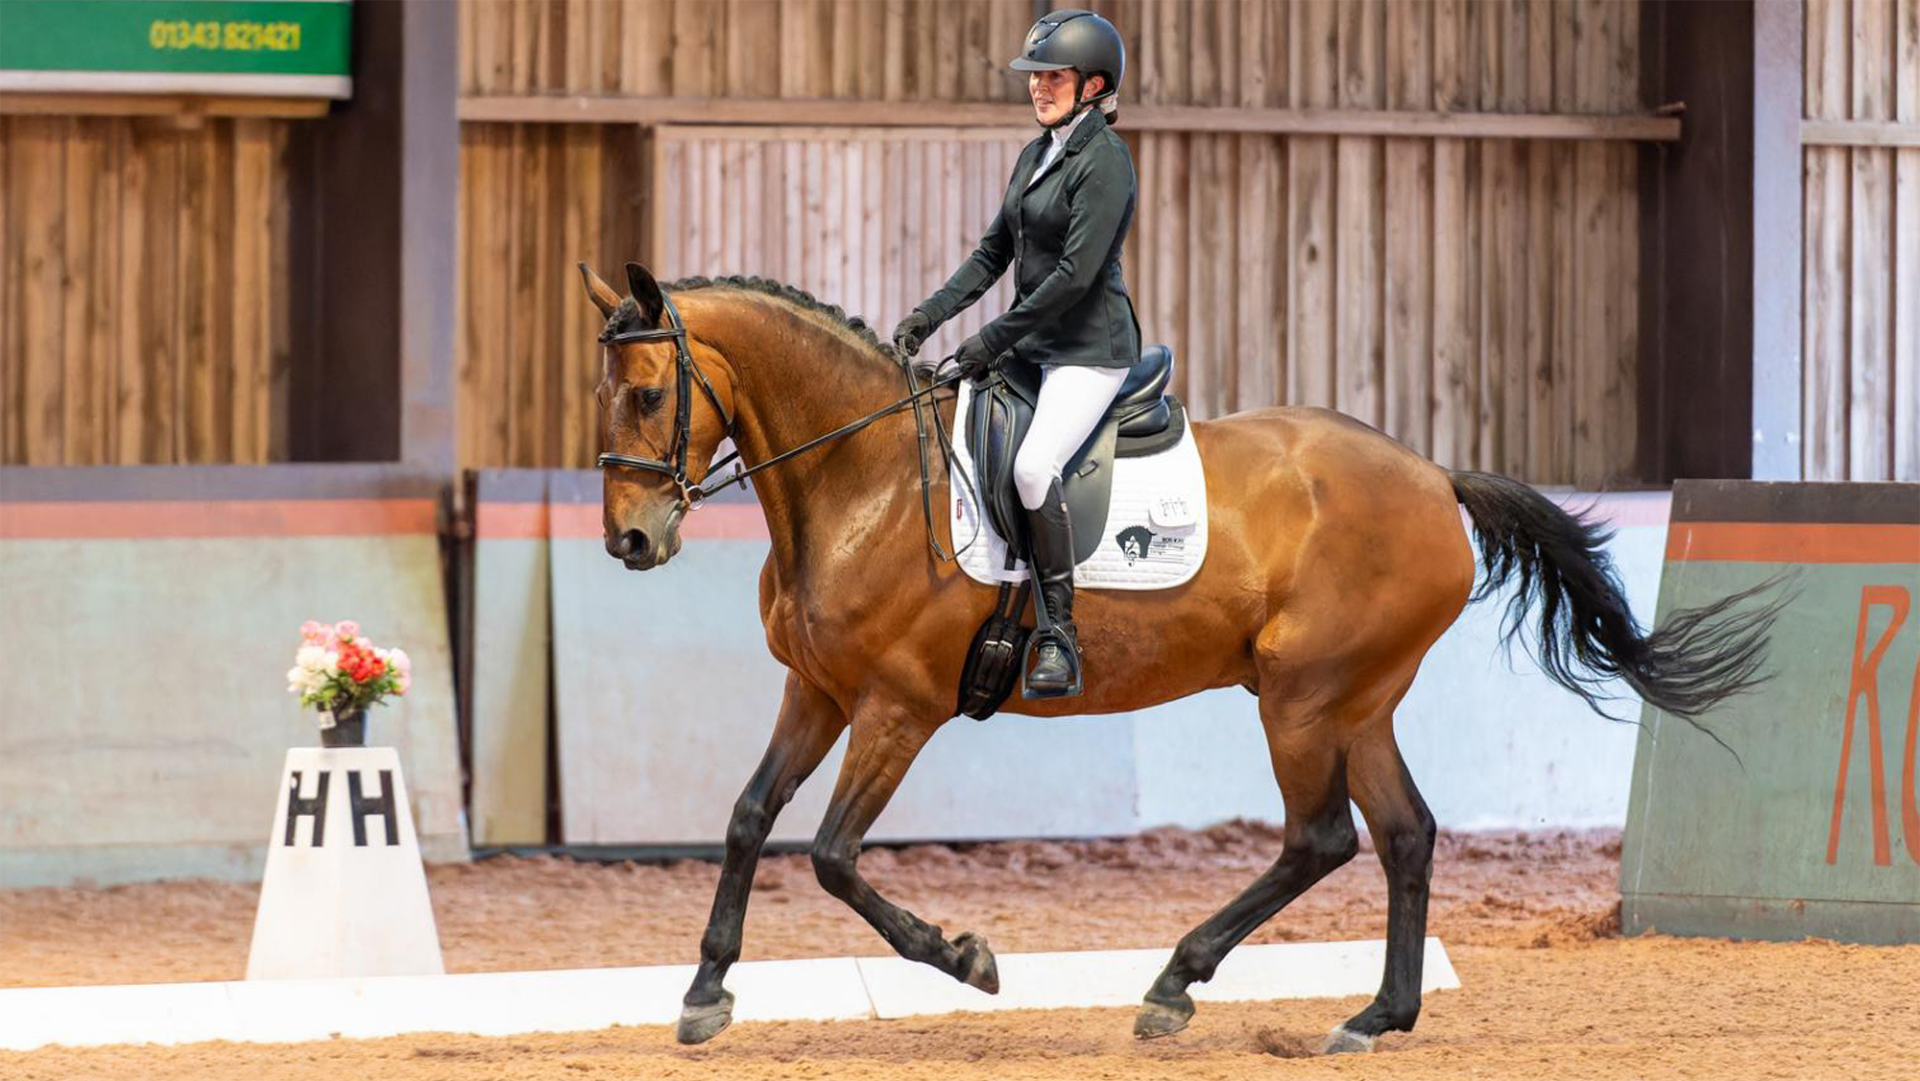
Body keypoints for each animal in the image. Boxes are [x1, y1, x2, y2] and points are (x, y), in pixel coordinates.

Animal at [576, 262, 1778, 1053]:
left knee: (1319, 837)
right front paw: (704, 991)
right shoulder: (818, 690)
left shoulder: (898, 707)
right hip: (1357, 702)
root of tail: (1435, 476)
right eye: (603, 394)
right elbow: (747, 817)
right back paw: (1377, 1014)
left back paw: (1174, 984)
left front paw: (967, 957)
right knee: (1404, 834)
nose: (630, 541)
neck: (859, 477)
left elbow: (829, 853)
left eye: (650, 394)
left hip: (1302, 699)